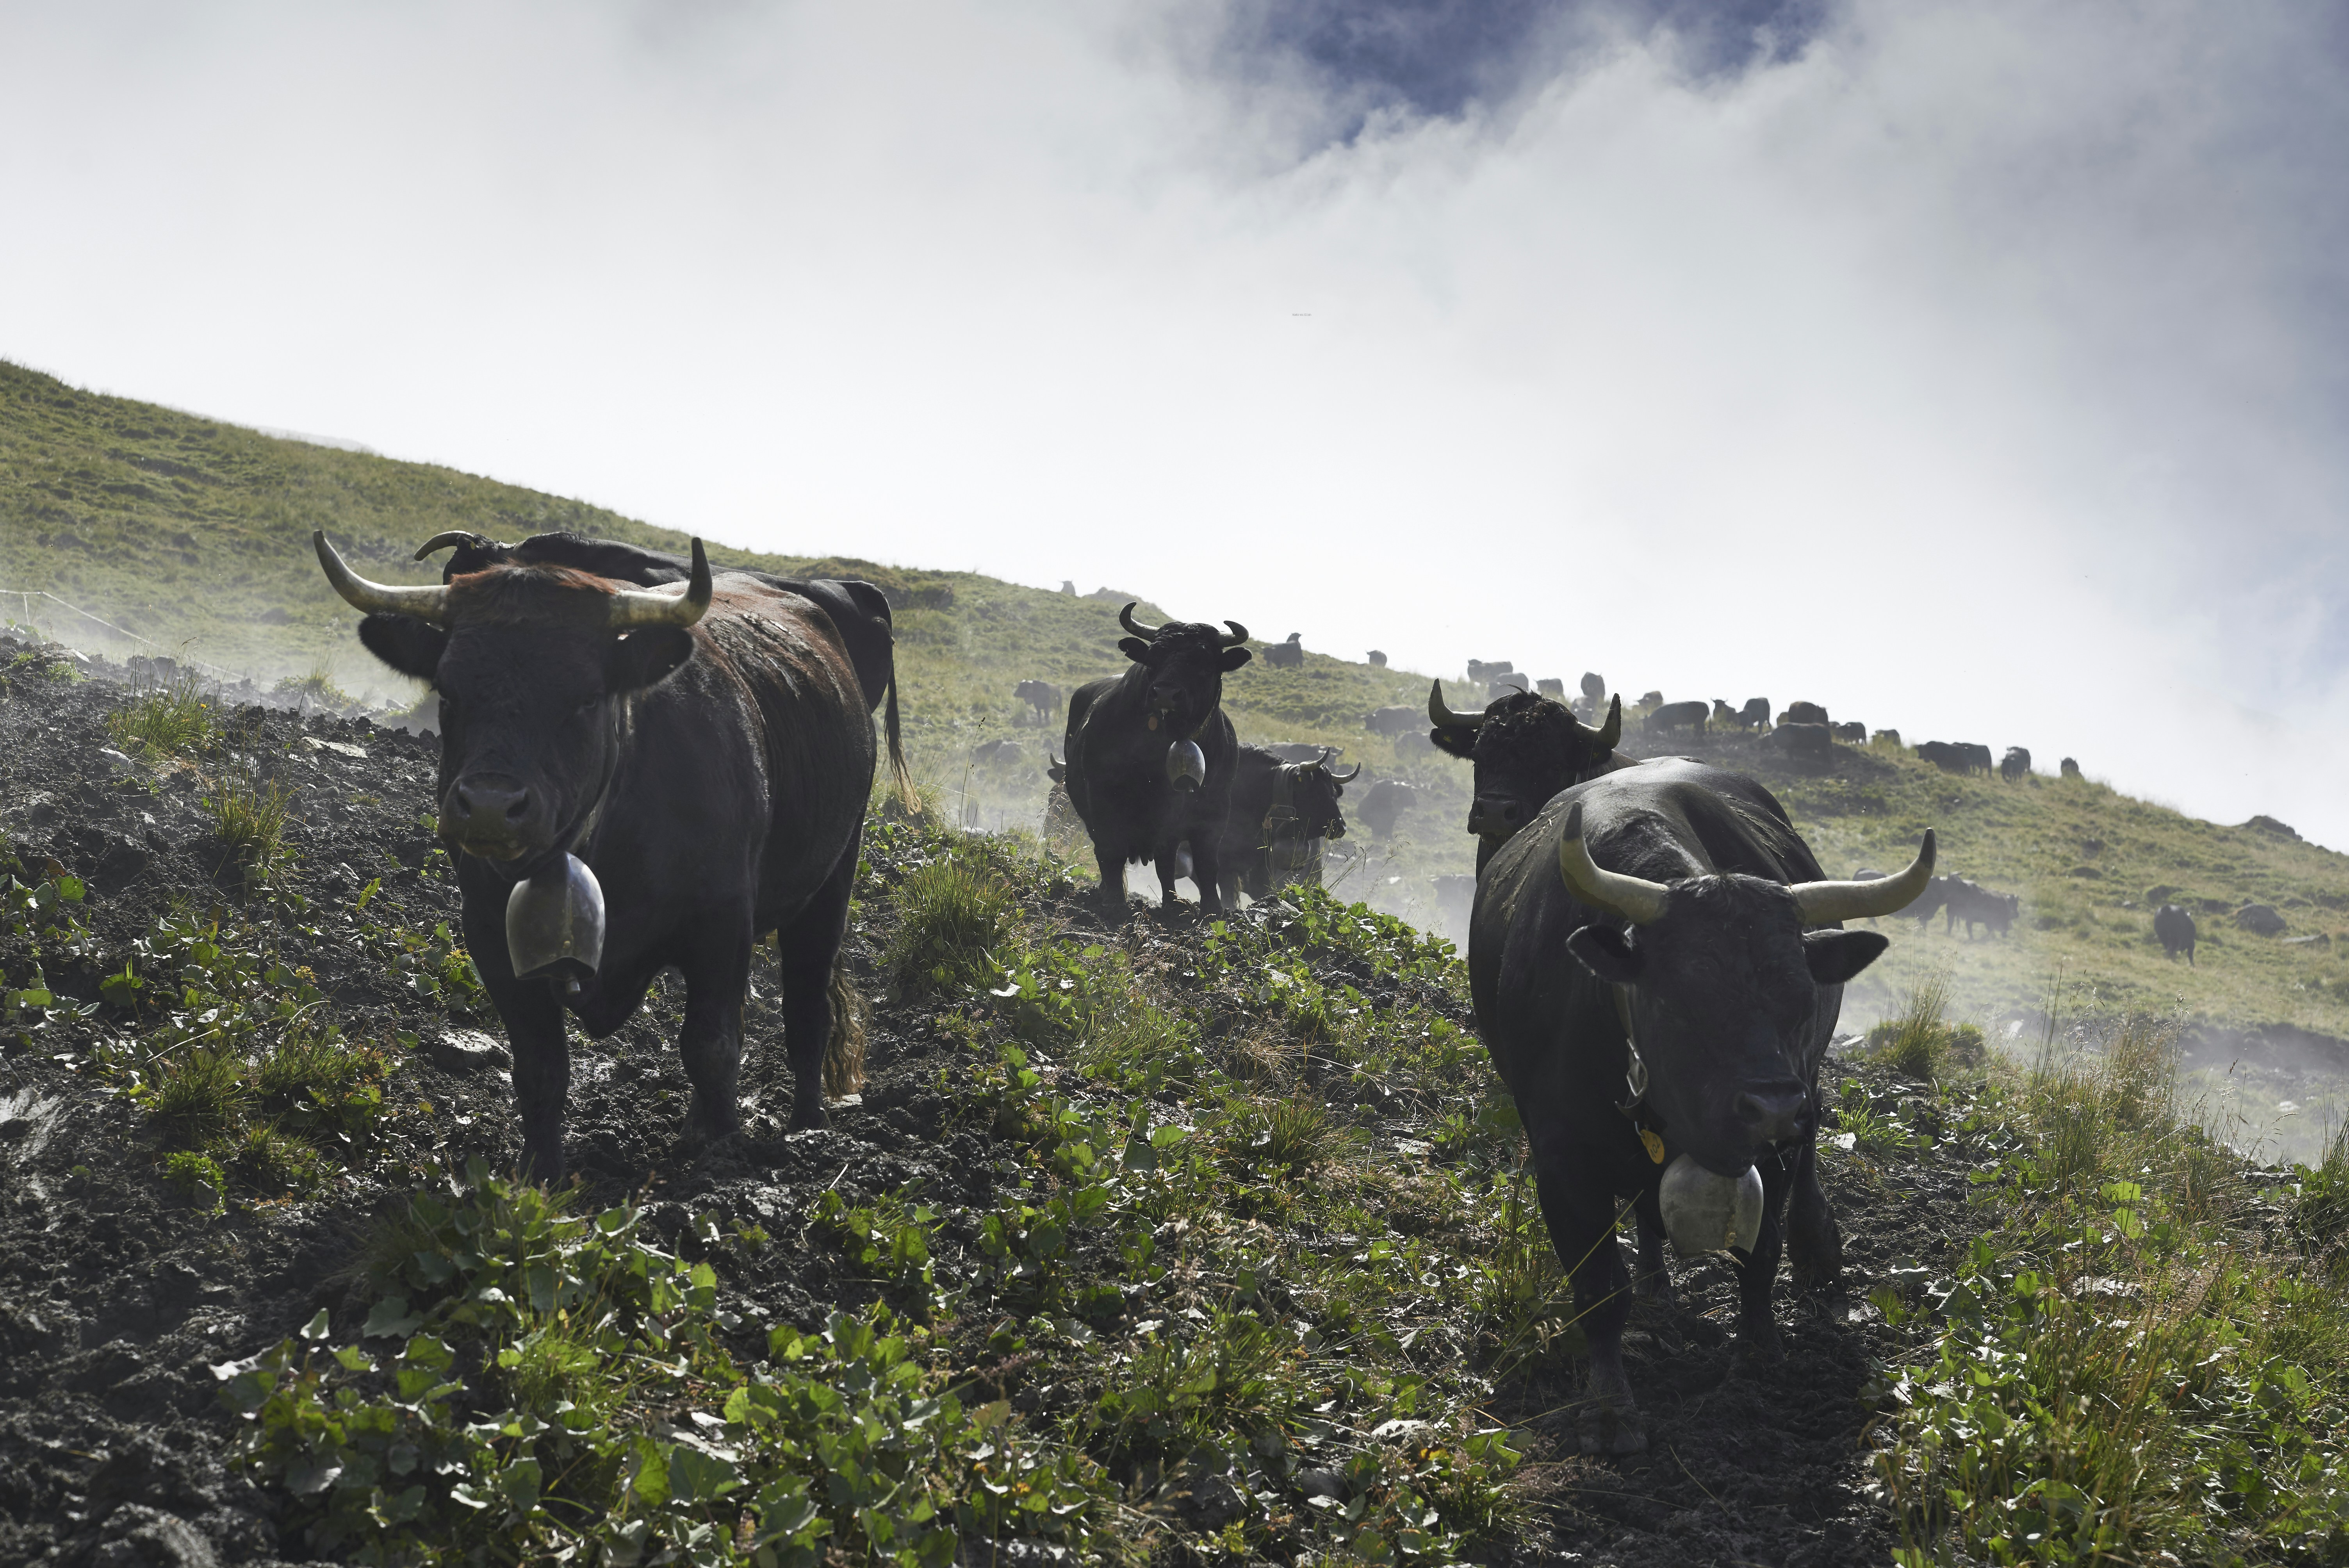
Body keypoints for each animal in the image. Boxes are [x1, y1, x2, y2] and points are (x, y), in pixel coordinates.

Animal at [314, 529, 909, 1183]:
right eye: (448, 691)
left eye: (586, 698)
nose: (491, 807)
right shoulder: (490, 933)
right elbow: (540, 1067)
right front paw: (540, 1171)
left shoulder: (721, 921)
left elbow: (711, 1047)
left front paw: (724, 1153)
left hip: (831, 879)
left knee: (806, 1007)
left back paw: (807, 1125)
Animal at [1063, 604, 1253, 915]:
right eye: (1154, 658)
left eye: (1204, 663)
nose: (1165, 693)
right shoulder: (1103, 795)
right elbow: (1111, 850)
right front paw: (1115, 901)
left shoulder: (1213, 809)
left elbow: (1200, 862)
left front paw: (1203, 907)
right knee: (1105, 852)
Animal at [1468, 760, 1934, 1452]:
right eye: (1682, 1000)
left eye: (1802, 996)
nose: (1774, 1108)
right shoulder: (1562, 1163)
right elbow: (1599, 1288)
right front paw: (1611, 1407)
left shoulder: (1774, 1149)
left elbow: (1760, 1255)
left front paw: (1760, 1353)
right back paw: (1656, 1284)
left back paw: (1817, 1248)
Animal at [1643, 700, 1709, 736]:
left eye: (1646, 724)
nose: (1644, 732)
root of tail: (1706, 705)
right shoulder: (1672, 724)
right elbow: (1673, 730)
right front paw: (1674, 737)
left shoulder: (1669, 724)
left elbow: (1670, 731)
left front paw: (1670, 737)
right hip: (1699, 721)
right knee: (1700, 728)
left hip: (1700, 720)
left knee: (1700, 728)